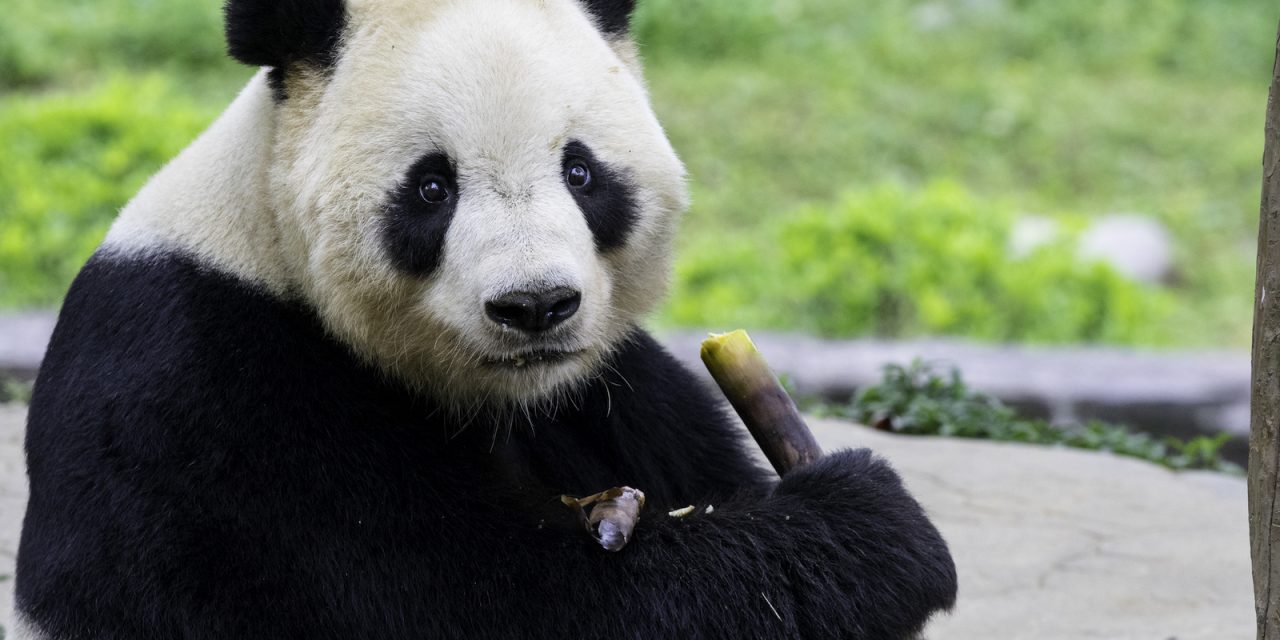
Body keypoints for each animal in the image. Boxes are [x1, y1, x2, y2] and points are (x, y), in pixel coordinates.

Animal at [15, 0, 957, 638]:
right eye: (433, 186)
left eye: (581, 171)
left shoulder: (616, 387)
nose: (535, 305)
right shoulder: (217, 401)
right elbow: (476, 598)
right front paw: (868, 531)